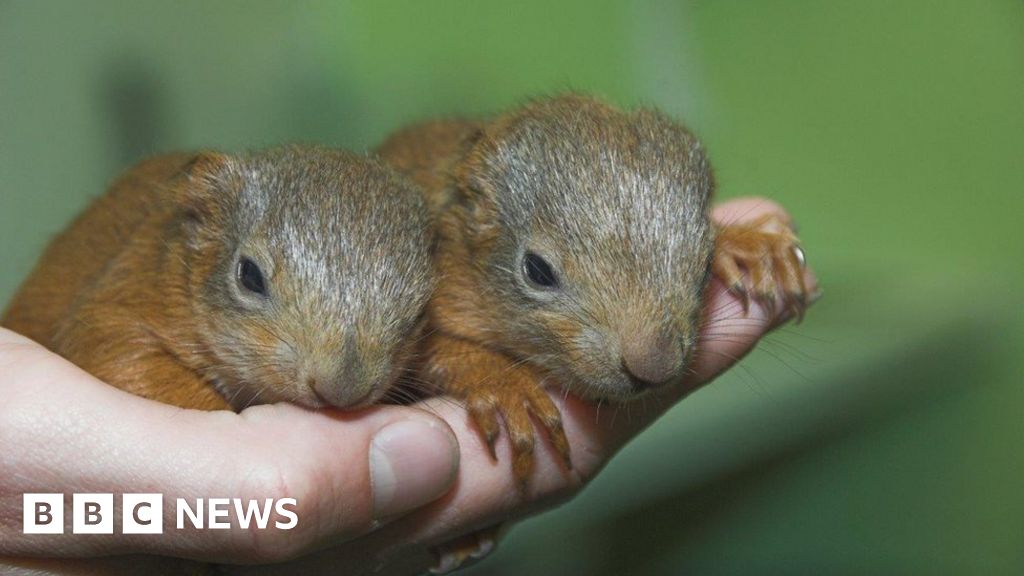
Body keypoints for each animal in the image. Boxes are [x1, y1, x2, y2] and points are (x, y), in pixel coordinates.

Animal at [377, 94, 810, 482]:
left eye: (704, 265)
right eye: (536, 270)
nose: (655, 365)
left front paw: (747, 246)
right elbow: (427, 353)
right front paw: (504, 385)